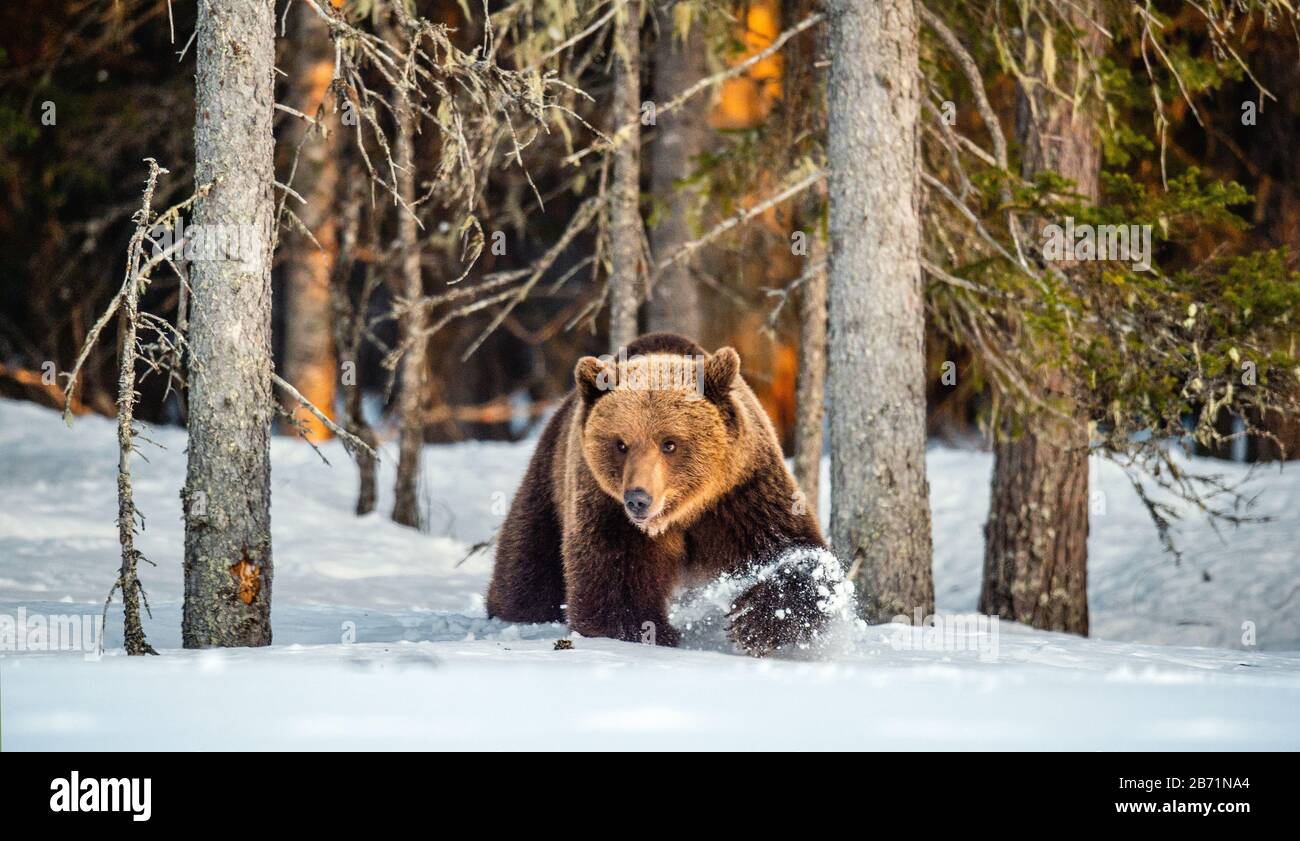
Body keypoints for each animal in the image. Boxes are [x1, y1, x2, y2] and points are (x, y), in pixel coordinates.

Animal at [485, 332, 840, 655]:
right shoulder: (608, 509)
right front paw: (646, 633)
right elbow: (615, 582)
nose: (638, 498)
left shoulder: (741, 494)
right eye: (621, 444)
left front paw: (756, 620)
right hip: (550, 483)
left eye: (670, 443)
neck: (680, 514)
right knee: (528, 566)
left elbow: (794, 549)